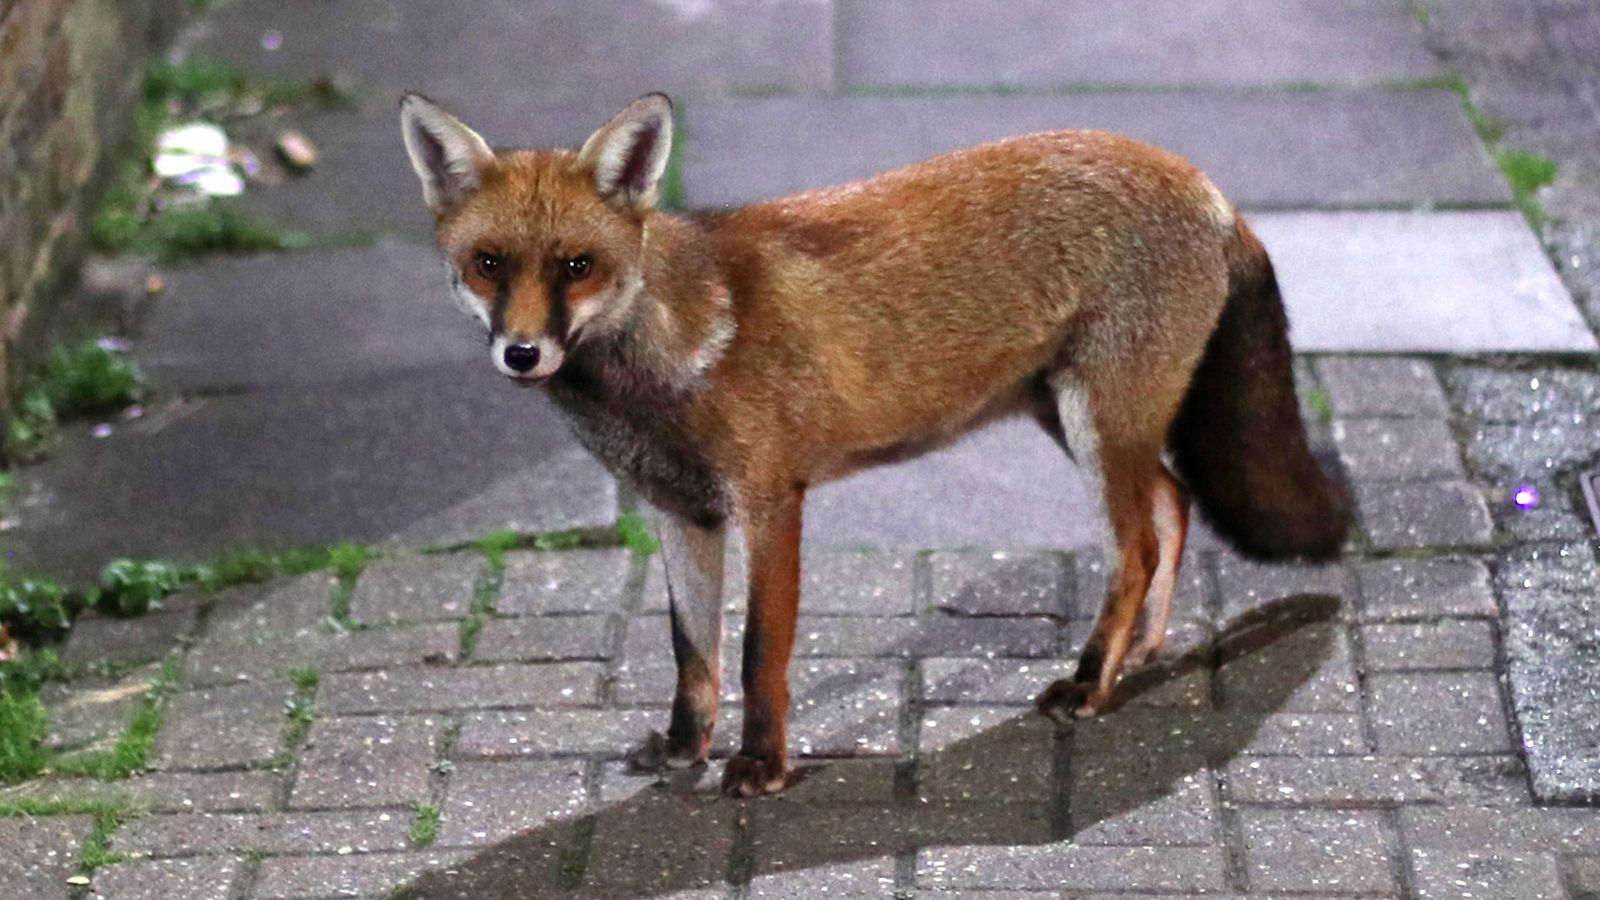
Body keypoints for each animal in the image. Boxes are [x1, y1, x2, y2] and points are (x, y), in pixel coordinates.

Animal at [399, 91, 1351, 797]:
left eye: (576, 266)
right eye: (489, 264)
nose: (523, 353)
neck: (669, 360)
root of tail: (1204, 182)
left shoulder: (770, 502)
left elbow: (758, 653)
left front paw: (760, 766)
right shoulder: (682, 512)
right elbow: (693, 654)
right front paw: (683, 751)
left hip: (1096, 424)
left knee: (1138, 544)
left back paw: (1091, 681)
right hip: (1077, 422)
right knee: (1172, 503)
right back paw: (1140, 657)